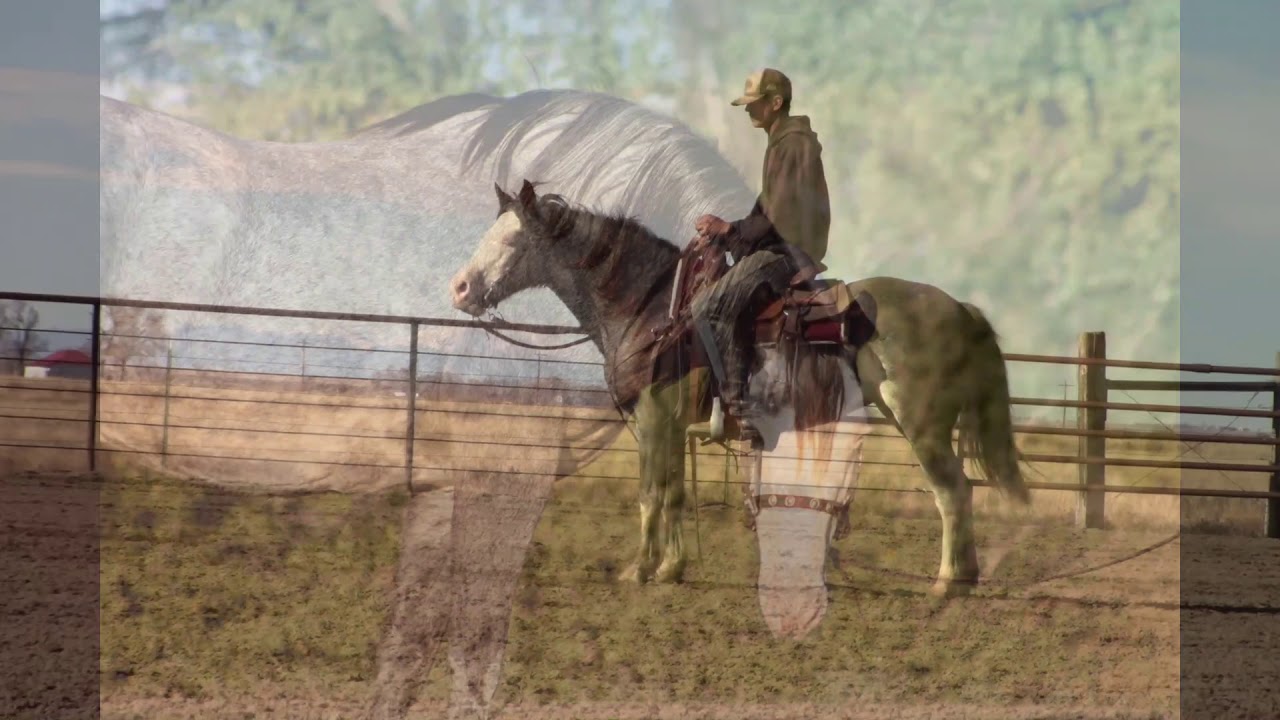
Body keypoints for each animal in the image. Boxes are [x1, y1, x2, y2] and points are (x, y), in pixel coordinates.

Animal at [449, 179, 1033, 614]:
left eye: (513, 242)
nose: (459, 288)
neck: (652, 310)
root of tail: (959, 309)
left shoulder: (654, 417)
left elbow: (649, 494)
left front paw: (637, 571)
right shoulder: (668, 424)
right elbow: (674, 493)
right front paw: (671, 569)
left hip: (922, 423)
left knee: (951, 491)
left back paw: (946, 583)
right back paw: (965, 578)